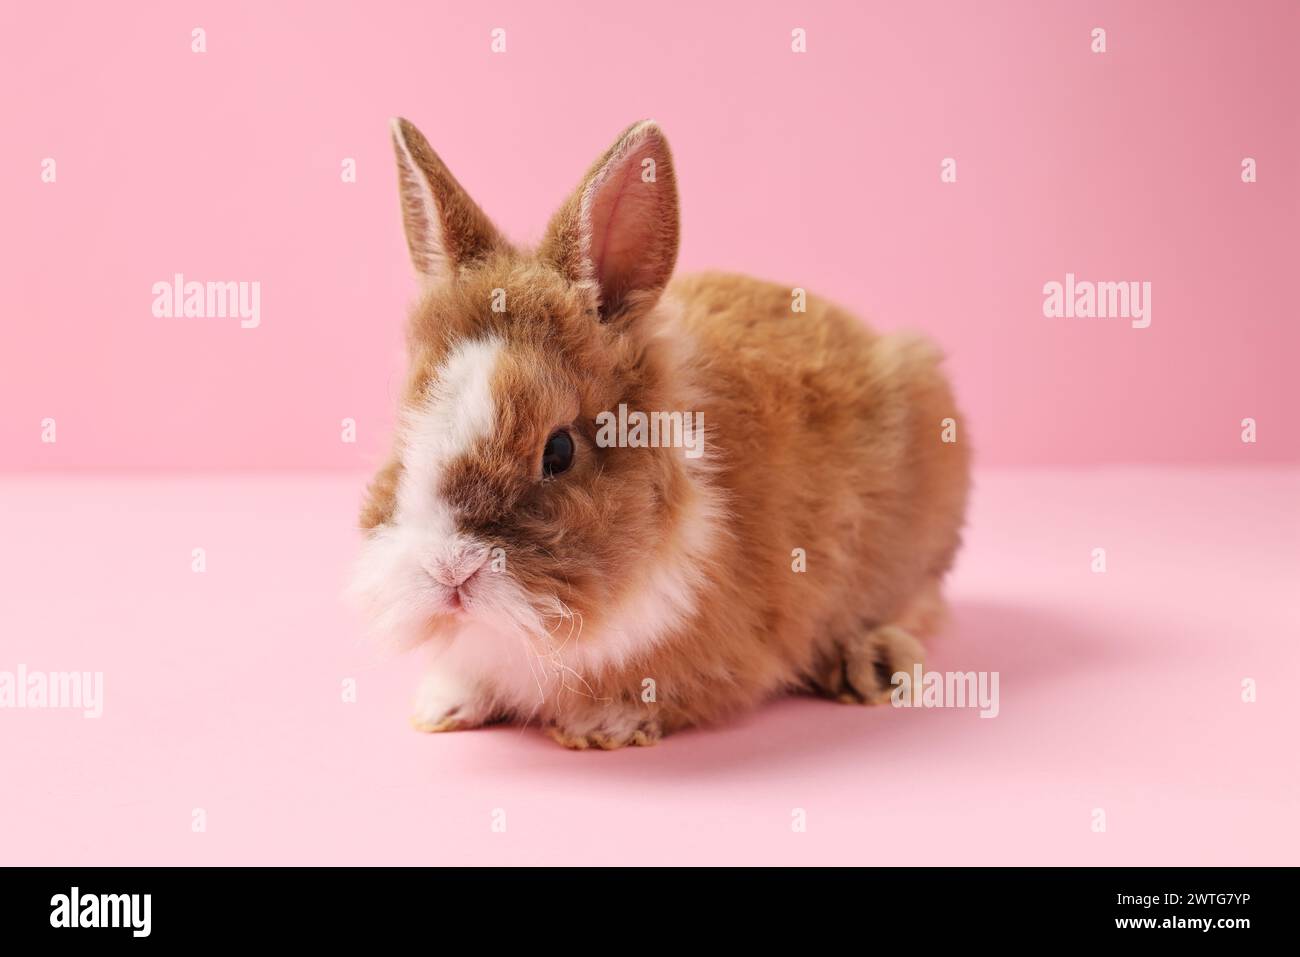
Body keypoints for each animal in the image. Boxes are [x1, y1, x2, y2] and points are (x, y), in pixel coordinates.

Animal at [350, 117, 971, 750]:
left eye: (559, 450)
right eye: (405, 432)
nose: (449, 571)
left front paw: (601, 725)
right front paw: (443, 705)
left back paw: (871, 664)